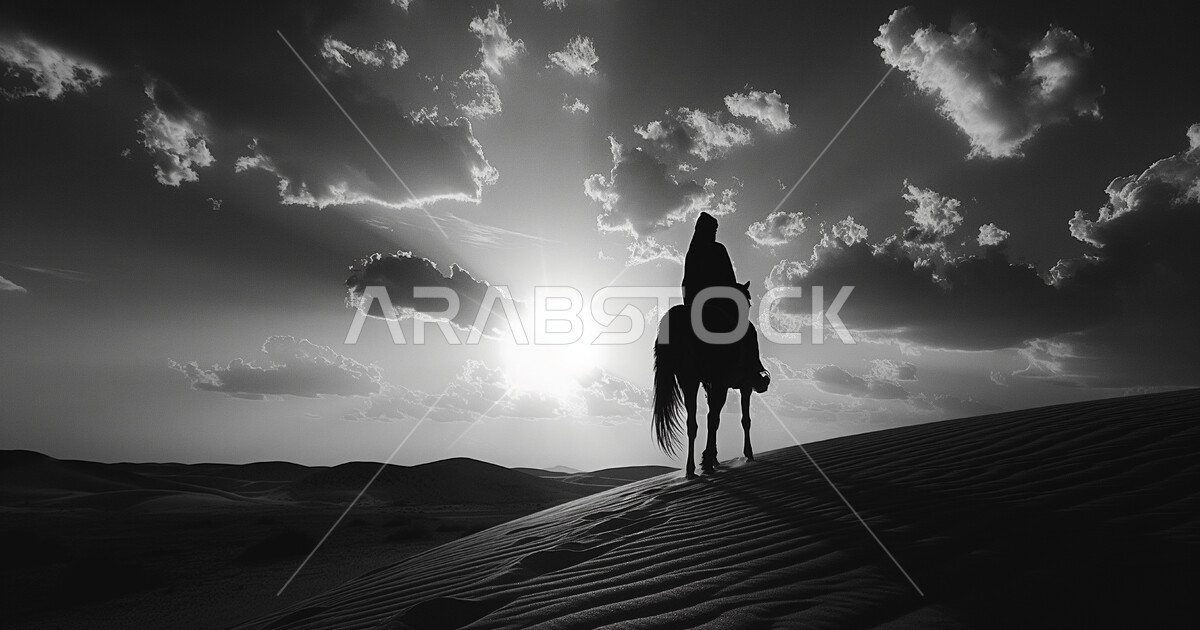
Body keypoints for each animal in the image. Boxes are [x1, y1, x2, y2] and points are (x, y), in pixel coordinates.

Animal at [651, 296, 764, 478]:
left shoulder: (709, 385)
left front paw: (711, 457)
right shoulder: (742, 386)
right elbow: (744, 420)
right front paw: (748, 454)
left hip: (688, 379)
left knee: (693, 423)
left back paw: (692, 469)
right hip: (717, 381)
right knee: (712, 419)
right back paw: (707, 466)